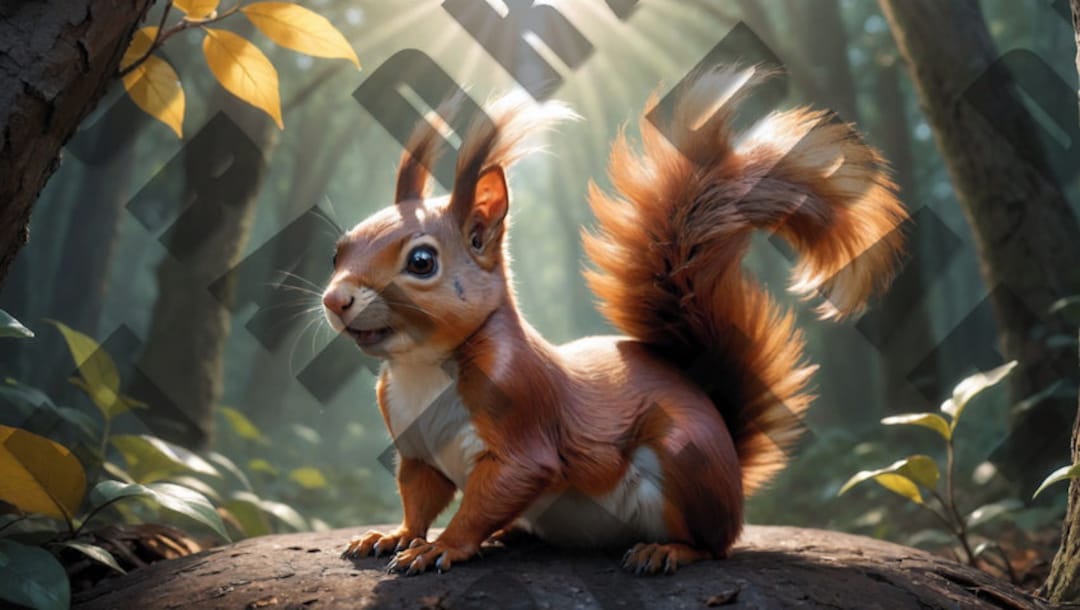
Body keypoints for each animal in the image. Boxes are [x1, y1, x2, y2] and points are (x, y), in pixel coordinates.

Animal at [323, 66, 907, 576]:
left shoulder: (522, 416)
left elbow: (497, 489)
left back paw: (666, 551)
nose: (334, 300)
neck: (422, 368)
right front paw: (395, 536)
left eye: (422, 262)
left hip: (685, 460)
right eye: (339, 249)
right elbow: (419, 498)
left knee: (714, 545)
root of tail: (733, 479)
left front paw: (440, 547)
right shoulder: (417, 451)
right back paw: (513, 534)